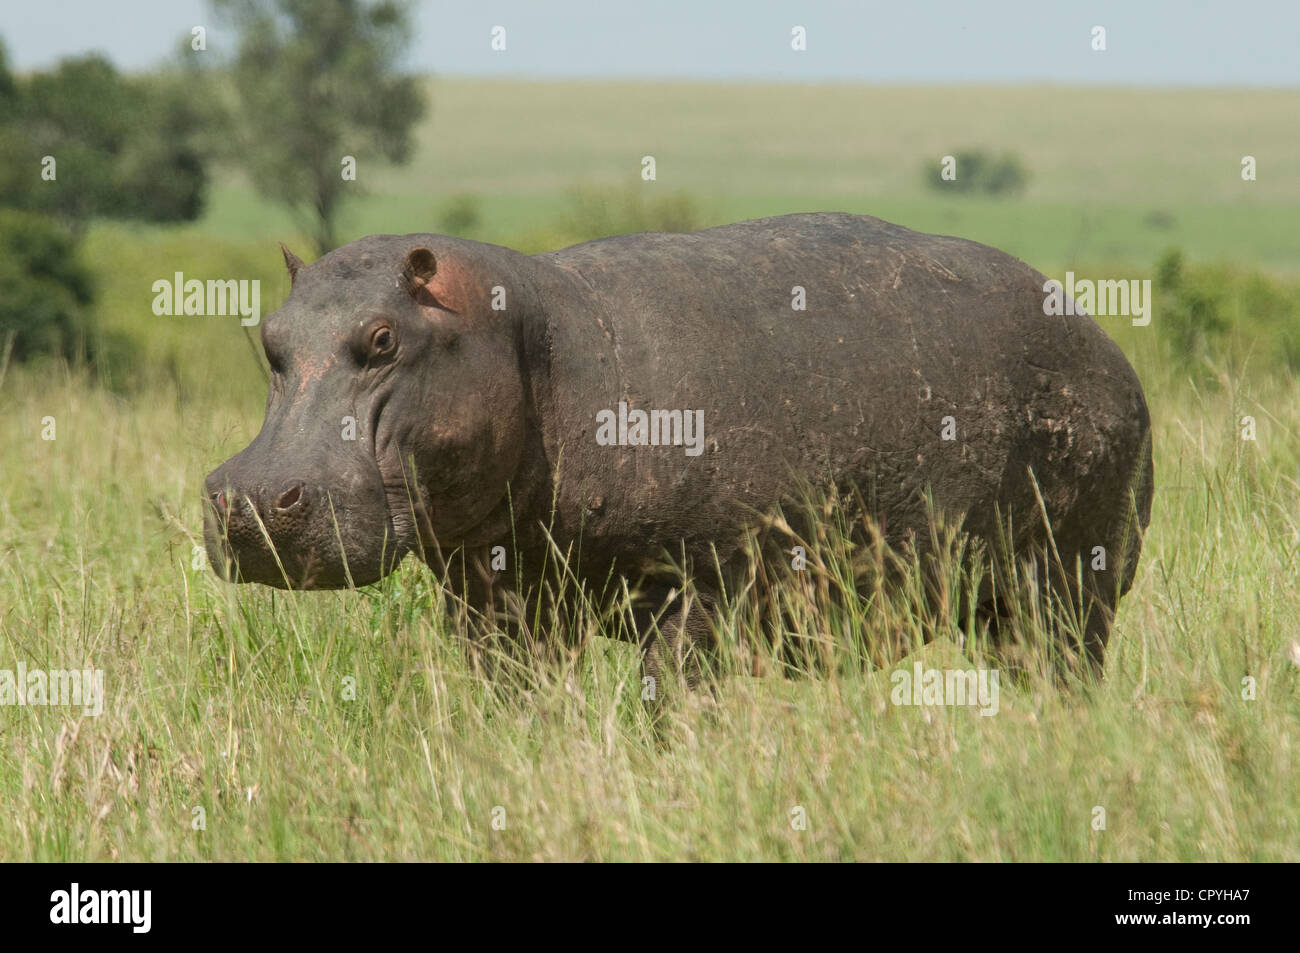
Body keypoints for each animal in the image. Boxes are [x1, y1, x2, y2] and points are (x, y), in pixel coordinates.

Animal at [204, 212, 1153, 684]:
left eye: (382, 338)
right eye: (268, 337)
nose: (247, 497)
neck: (533, 340)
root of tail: (1109, 348)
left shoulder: (709, 587)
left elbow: (670, 694)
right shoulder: (492, 596)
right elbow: (507, 692)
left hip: (1075, 584)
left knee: (1069, 664)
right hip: (1001, 602)